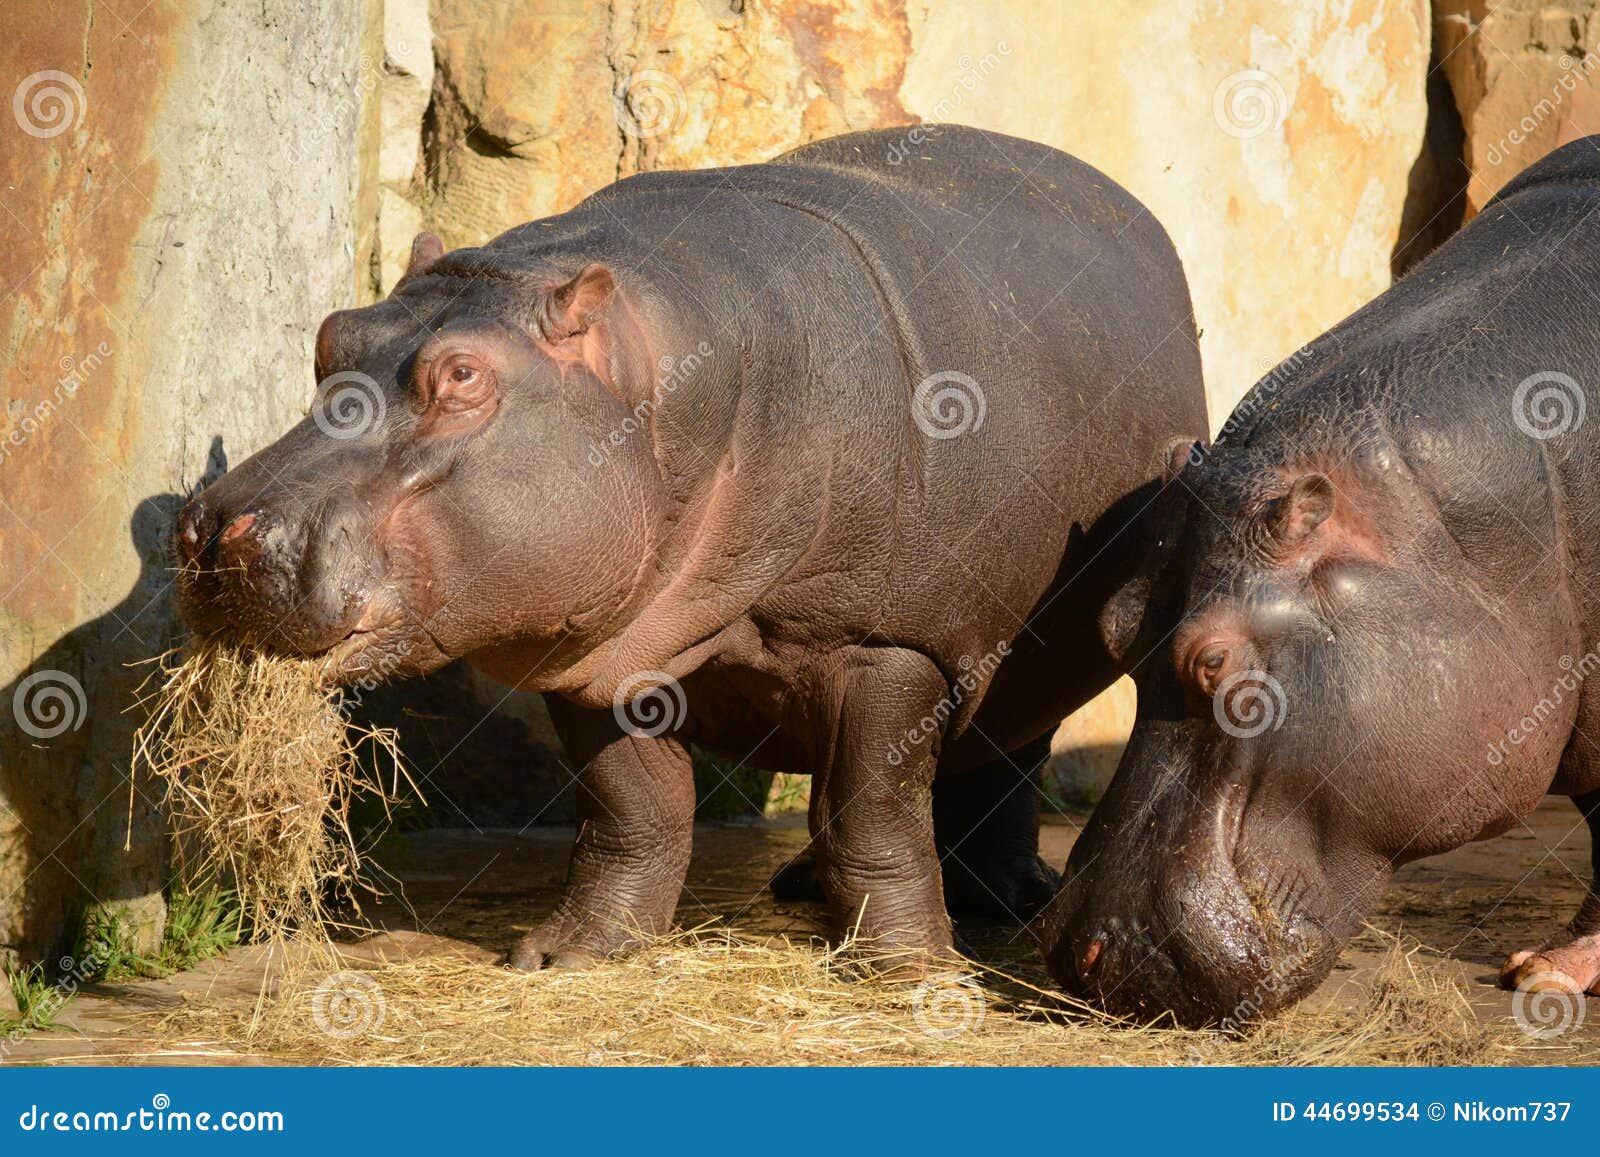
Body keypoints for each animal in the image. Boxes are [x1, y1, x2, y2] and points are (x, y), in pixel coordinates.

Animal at [175, 125, 1206, 972]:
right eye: (331, 336)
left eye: (463, 375)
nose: (216, 527)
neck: (673, 377)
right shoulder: (600, 656)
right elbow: (631, 811)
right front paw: (569, 954)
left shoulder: (890, 643)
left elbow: (872, 809)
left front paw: (910, 970)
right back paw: (809, 886)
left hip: (1009, 644)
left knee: (1004, 757)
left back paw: (1001, 900)